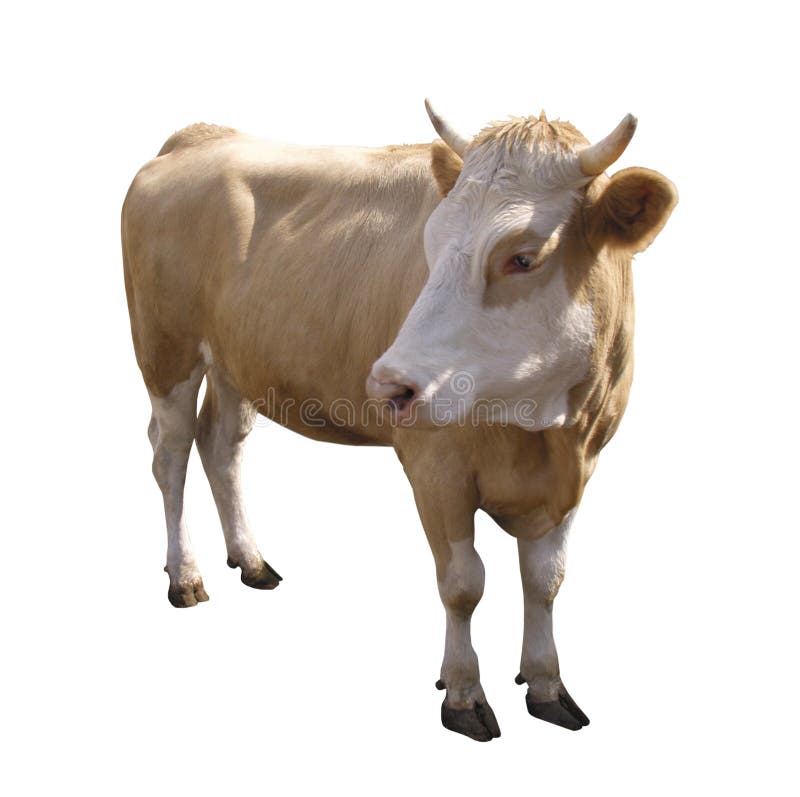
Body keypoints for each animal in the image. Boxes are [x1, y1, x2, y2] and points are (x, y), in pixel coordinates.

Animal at [122, 100, 677, 741]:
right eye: (430, 244)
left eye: (523, 256)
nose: (386, 384)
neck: (544, 432)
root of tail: (197, 137)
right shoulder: (436, 469)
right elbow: (464, 584)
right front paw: (462, 693)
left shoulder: (576, 470)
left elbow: (546, 581)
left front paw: (546, 685)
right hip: (167, 351)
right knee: (171, 455)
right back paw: (184, 576)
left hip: (237, 360)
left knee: (222, 447)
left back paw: (252, 561)